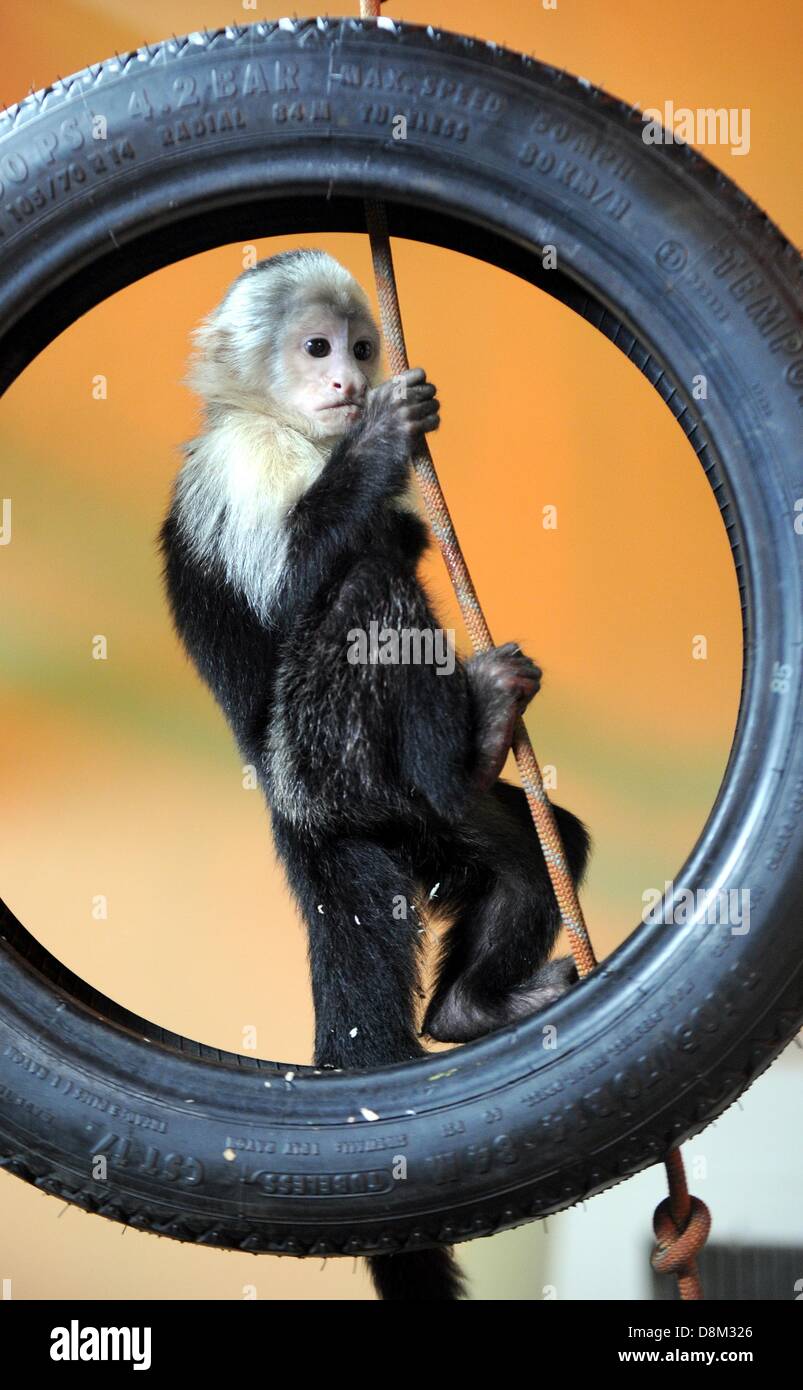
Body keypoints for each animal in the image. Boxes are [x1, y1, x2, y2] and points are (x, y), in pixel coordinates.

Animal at [159, 248, 590, 1301]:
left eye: (359, 346)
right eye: (317, 348)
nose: (349, 383)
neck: (277, 424)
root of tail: (299, 813)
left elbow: (394, 542)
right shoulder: (248, 463)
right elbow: (302, 583)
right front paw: (380, 448)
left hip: (413, 823)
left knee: (524, 850)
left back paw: (470, 1002)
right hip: (330, 759)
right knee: (359, 594)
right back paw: (466, 741)